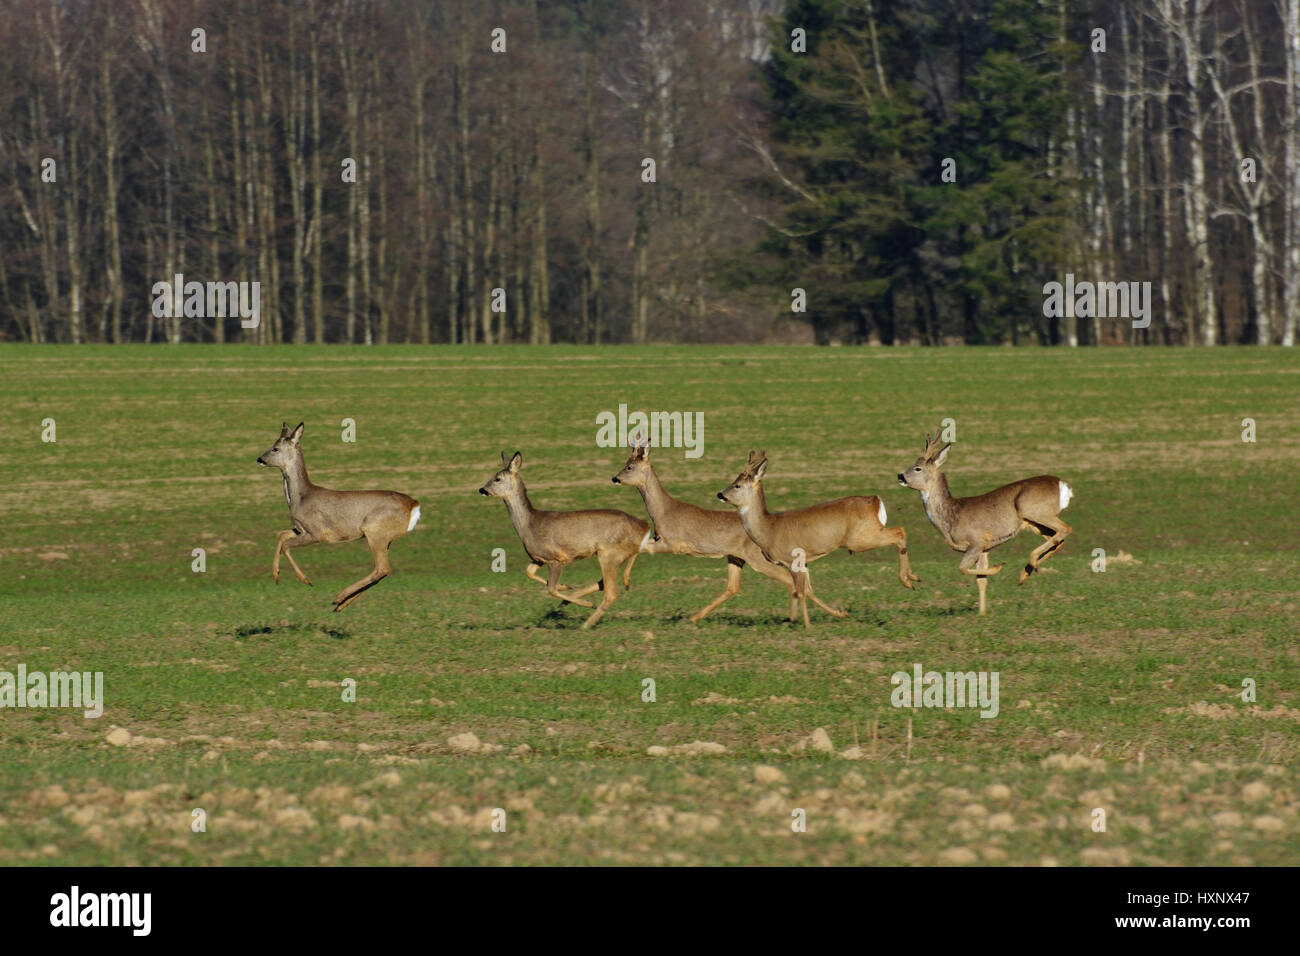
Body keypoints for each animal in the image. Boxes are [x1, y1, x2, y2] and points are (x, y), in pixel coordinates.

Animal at [256, 422, 421, 611]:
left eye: (275, 448)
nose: (259, 459)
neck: (300, 498)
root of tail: (413, 505)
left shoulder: (317, 532)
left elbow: (285, 545)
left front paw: (306, 580)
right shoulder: (300, 529)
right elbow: (281, 535)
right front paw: (276, 575)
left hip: (375, 530)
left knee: (382, 569)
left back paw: (338, 598)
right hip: (385, 538)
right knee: (380, 572)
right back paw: (341, 604)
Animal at [479, 451, 652, 629]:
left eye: (497, 478)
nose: (481, 489)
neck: (530, 525)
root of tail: (644, 527)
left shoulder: (556, 558)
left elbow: (551, 588)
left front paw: (585, 602)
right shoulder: (539, 558)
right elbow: (530, 572)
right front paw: (565, 586)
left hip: (609, 554)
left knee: (610, 593)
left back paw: (585, 623)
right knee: (605, 583)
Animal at [611, 430, 804, 623]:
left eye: (629, 467)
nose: (615, 478)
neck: (663, 511)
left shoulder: (673, 543)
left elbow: (640, 547)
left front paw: (626, 582)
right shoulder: (661, 539)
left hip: (755, 556)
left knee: (787, 577)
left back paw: (791, 618)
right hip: (736, 557)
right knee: (733, 586)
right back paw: (694, 617)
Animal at [717, 451, 920, 627]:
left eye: (737, 485)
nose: (720, 494)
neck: (768, 529)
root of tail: (875, 500)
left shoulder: (793, 558)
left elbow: (800, 592)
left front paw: (806, 625)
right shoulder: (804, 560)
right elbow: (809, 591)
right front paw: (841, 613)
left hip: (861, 538)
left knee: (900, 532)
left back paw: (907, 580)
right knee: (900, 532)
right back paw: (913, 578)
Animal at [897, 429, 1073, 615]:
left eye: (917, 468)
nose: (900, 476)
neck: (950, 519)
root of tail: (1061, 485)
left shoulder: (976, 541)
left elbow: (962, 568)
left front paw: (998, 567)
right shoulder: (984, 547)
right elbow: (981, 580)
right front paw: (982, 612)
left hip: (1033, 510)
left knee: (1065, 529)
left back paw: (1029, 566)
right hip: (1036, 523)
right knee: (1057, 538)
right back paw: (1028, 570)